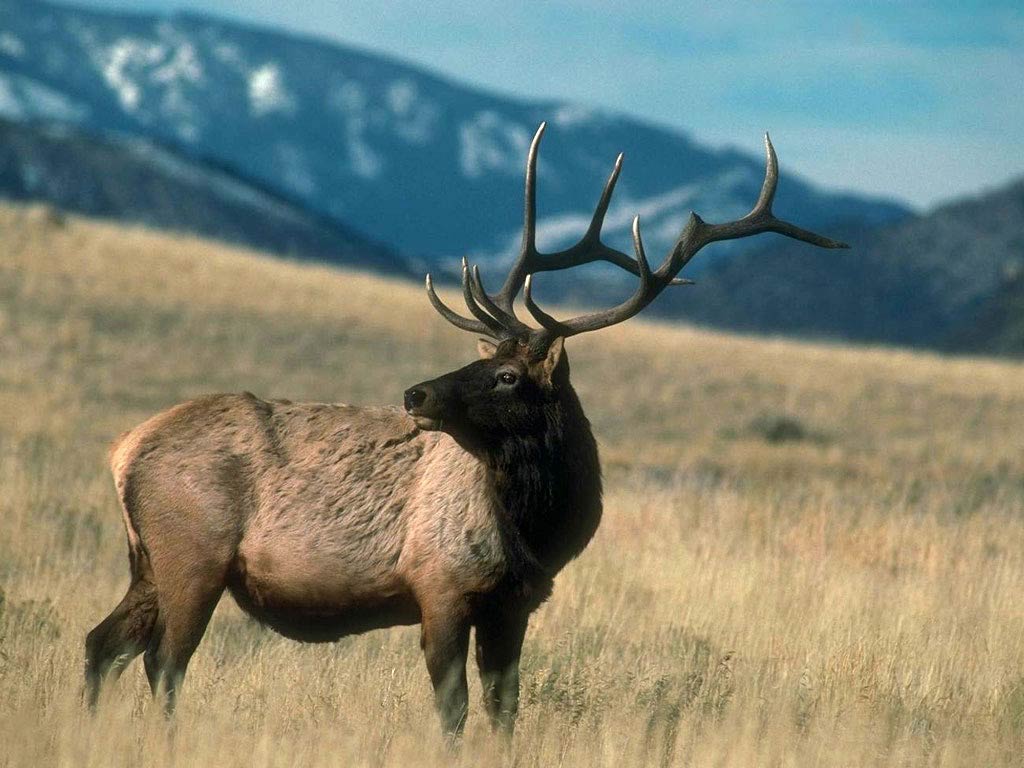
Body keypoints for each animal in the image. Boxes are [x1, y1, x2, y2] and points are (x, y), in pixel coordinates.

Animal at [84, 123, 847, 738]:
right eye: (484, 363)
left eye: (506, 376)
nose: (414, 392)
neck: (536, 531)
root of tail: (124, 450)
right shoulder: (441, 584)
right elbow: (452, 714)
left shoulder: (515, 605)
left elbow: (505, 712)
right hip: (193, 553)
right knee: (163, 665)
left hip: (148, 561)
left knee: (102, 645)